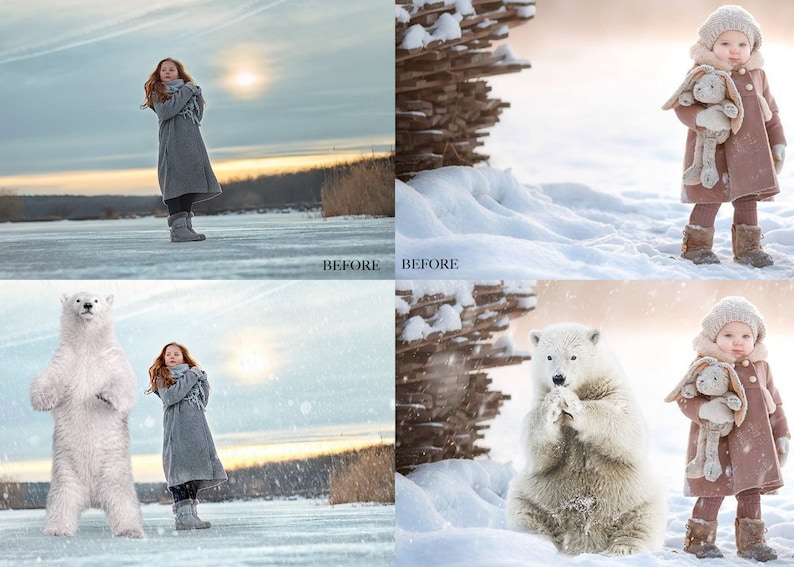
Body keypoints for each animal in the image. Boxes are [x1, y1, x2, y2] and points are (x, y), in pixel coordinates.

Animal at [29, 292, 144, 538]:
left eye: (97, 300)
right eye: (78, 299)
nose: (89, 305)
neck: (88, 346)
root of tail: (92, 498)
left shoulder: (113, 358)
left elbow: (125, 382)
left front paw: (106, 395)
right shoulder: (64, 360)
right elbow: (48, 377)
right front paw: (45, 398)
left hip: (114, 471)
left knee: (123, 502)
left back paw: (130, 530)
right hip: (66, 472)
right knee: (62, 500)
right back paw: (57, 529)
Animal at [506, 322, 666, 555]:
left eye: (573, 356)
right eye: (549, 356)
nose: (558, 378)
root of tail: (585, 541)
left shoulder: (613, 390)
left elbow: (625, 424)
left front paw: (571, 402)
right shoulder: (538, 400)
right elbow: (540, 451)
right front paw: (554, 404)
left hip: (637, 498)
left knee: (641, 523)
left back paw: (622, 548)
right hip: (534, 496)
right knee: (526, 515)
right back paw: (537, 543)